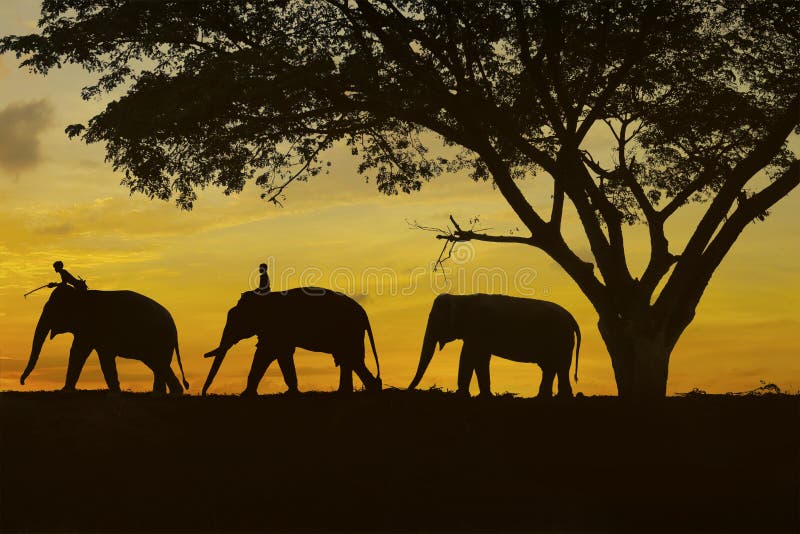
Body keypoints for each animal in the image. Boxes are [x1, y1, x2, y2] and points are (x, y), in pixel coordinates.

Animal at [21, 284, 189, 395]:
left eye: (52, 310)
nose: (22, 382)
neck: (81, 295)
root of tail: (174, 327)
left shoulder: (93, 328)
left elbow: (82, 353)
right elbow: (85, 354)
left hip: (159, 339)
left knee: (159, 365)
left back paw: (161, 394)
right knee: (158, 365)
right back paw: (169, 393)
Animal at [201, 287, 382, 396]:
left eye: (235, 320)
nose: (204, 394)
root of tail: (364, 313)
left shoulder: (276, 329)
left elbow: (267, 352)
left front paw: (245, 395)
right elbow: (279, 353)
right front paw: (292, 393)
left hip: (350, 332)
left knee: (351, 359)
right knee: (349, 360)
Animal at [408, 293, 580, 398]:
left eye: (435, 319)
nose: (408, 389)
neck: (462, 297)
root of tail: (571, 318)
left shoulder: (477, 329)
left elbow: (468, 356)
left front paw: (461, 395)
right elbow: (481, 359)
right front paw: (484, 396)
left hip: (561, 339)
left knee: (560, 367)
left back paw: (561, 397)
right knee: (550, 368)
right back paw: (541, 397)